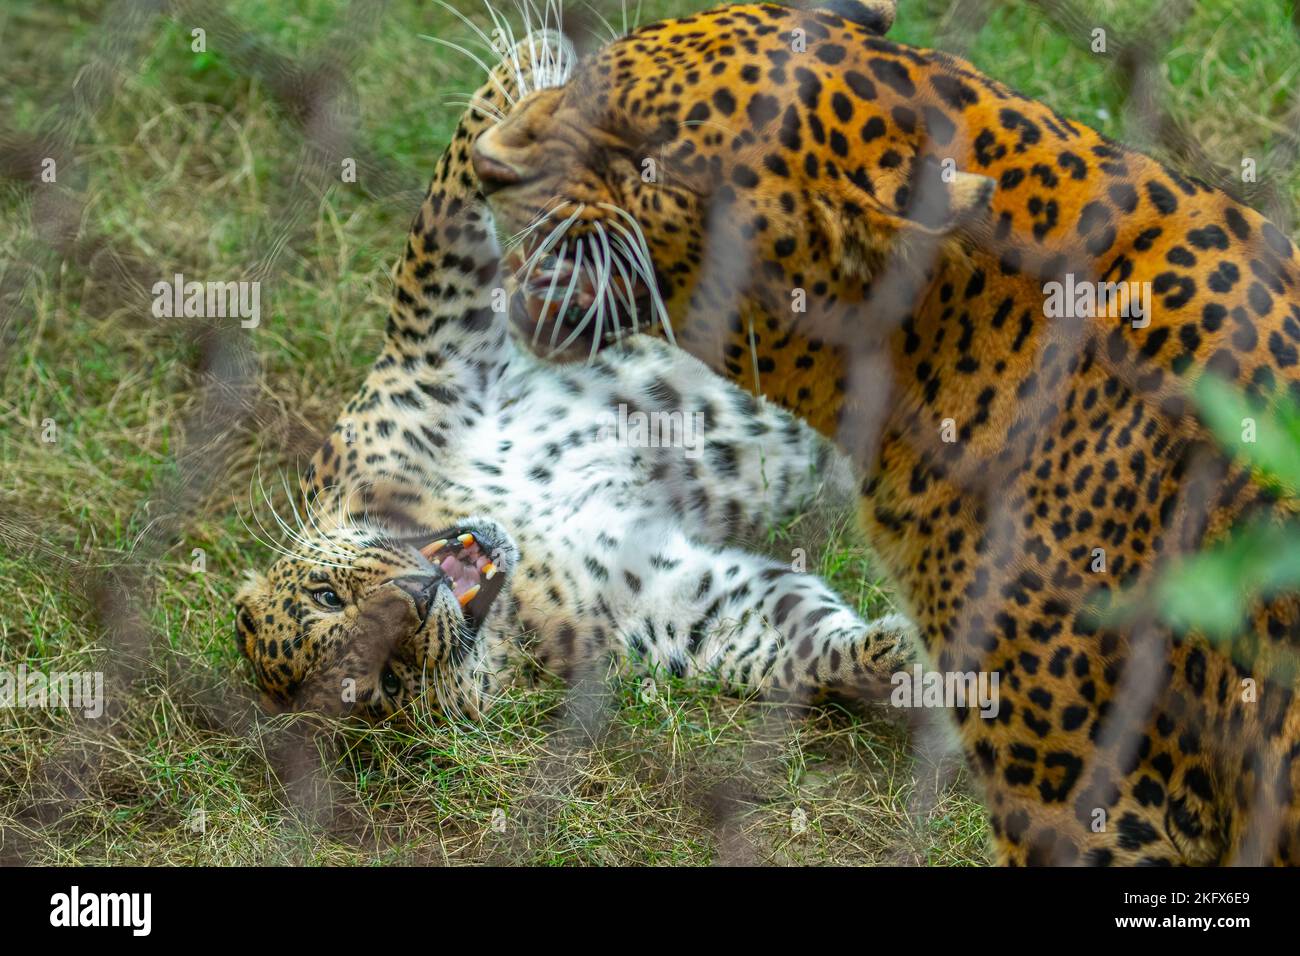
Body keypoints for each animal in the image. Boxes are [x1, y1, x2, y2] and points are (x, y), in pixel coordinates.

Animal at [233, 31, 913, 724]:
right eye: (389, 681)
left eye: (325, 595)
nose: (420, 597)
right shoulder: (664, 599)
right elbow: (777, 633)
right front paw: (893, 661)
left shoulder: (436, 350)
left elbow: (445, 215)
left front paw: (530, 72)